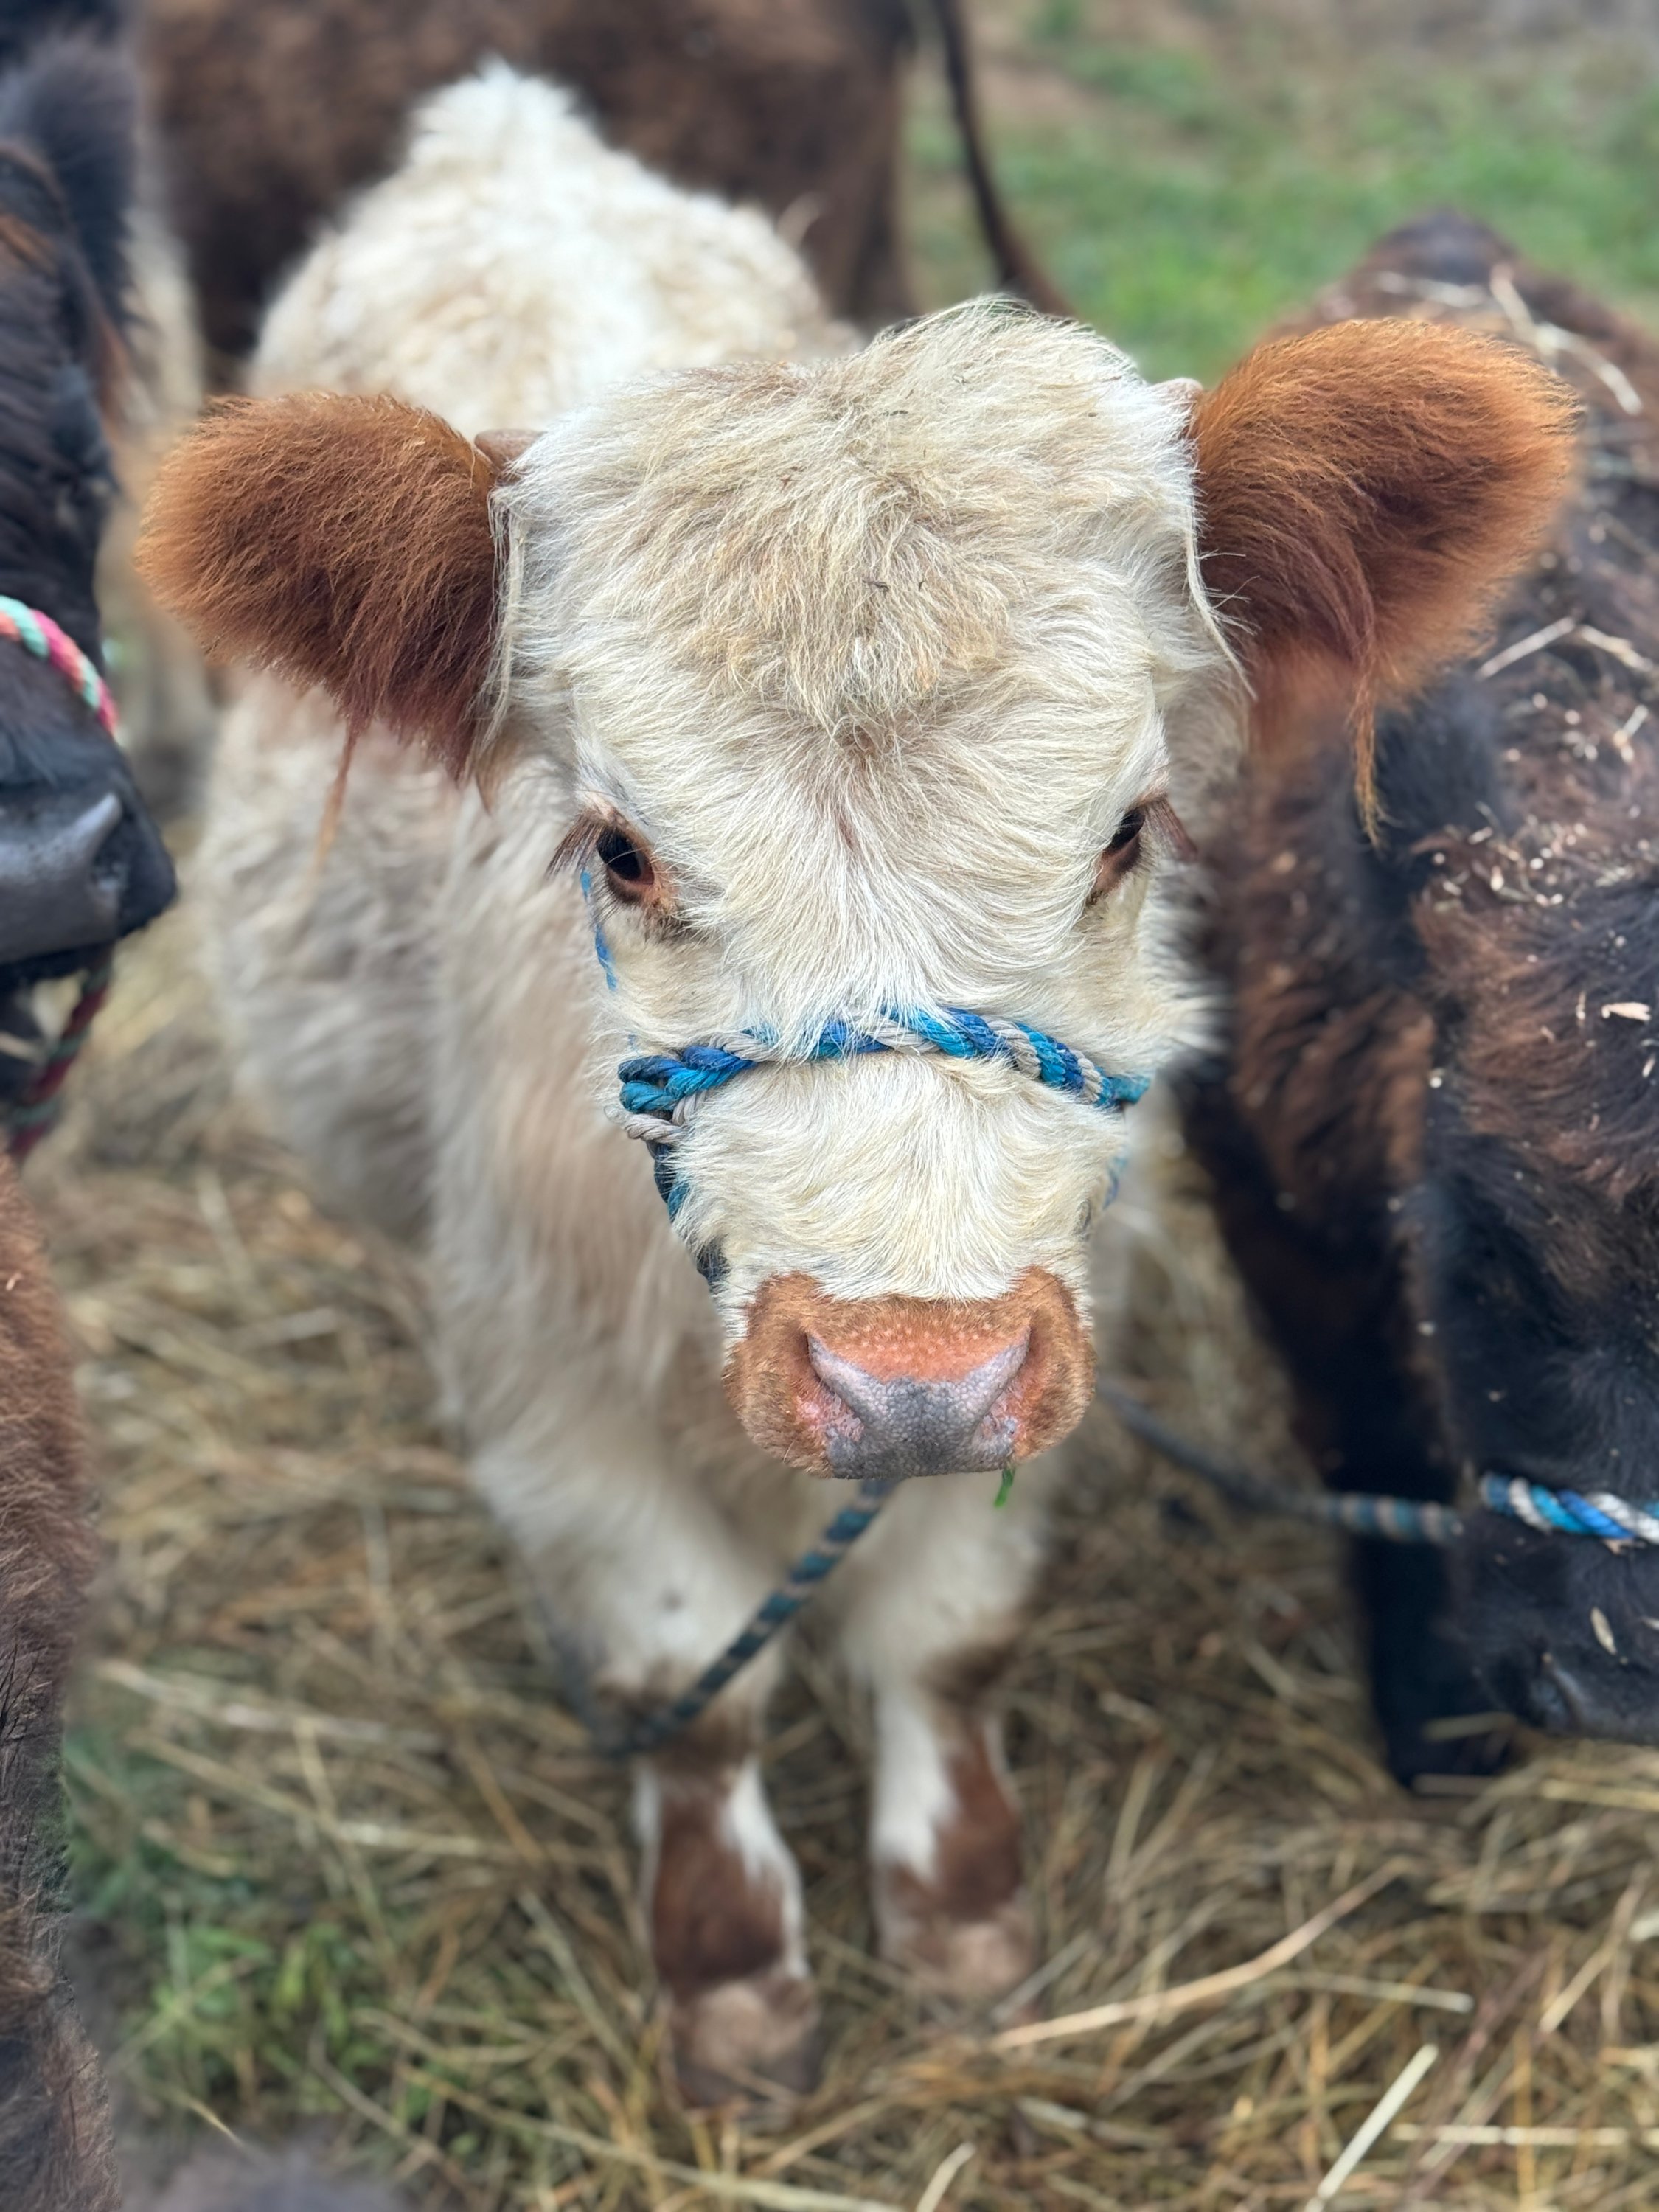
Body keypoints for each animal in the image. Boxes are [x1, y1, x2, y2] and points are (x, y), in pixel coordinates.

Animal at [136, 69, 1573, 2095]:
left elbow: (951, 1641)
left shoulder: (1054, 1313)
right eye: (622, 849)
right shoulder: (545, 1378)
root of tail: (509, 131)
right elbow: (683, 1687)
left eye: (1128, 829)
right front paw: (734, 1978)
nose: (910, 1373)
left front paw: (962, 1918)